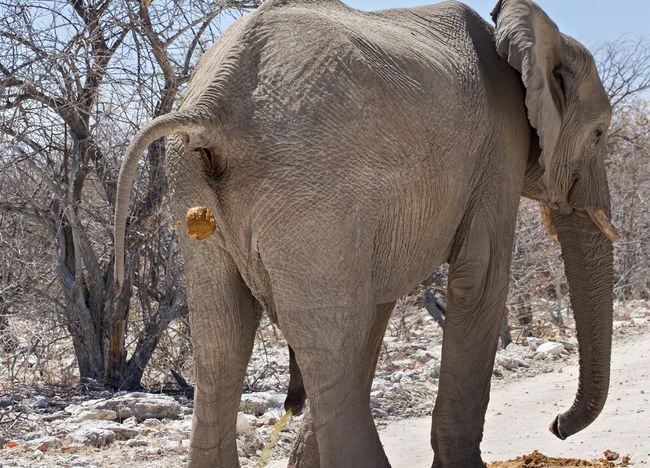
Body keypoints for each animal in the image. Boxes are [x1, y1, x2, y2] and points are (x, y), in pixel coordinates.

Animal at [113, 0, 619, 466]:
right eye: (599, 133)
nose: (556, 426)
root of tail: (212, 102)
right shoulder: (499, 150)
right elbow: (480, 279)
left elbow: (378, 308)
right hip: (310, 185)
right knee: (327, 344)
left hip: (197, 184)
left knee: (223, 339)